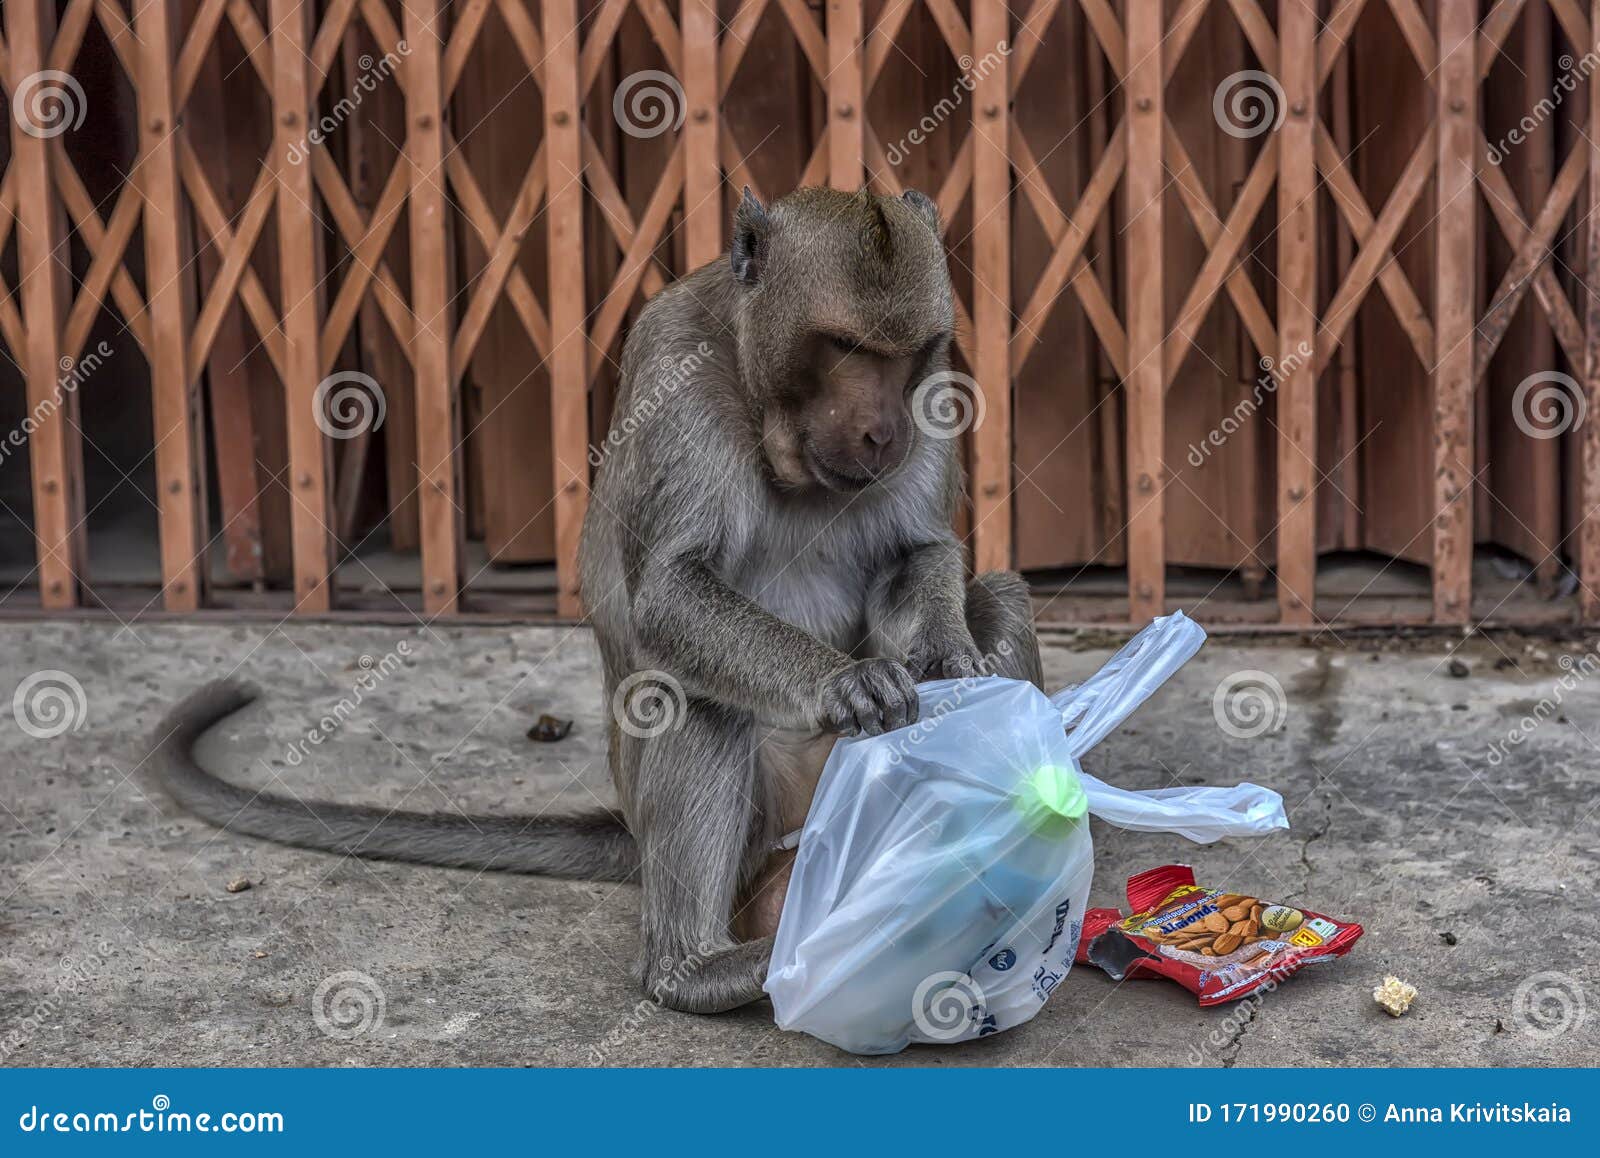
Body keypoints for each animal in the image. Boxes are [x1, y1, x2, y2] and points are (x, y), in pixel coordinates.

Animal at [149, 185, 1043, 1017]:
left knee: (1000, 593)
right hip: (755, 827)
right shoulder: (679, 380)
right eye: (847, 347)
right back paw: (695, 971)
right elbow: (670, 597)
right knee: (690, 696)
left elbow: (918, 554)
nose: (884, 432)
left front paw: (949, 658)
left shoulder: (933, 397)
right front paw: (843, 681)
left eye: (909, 353)